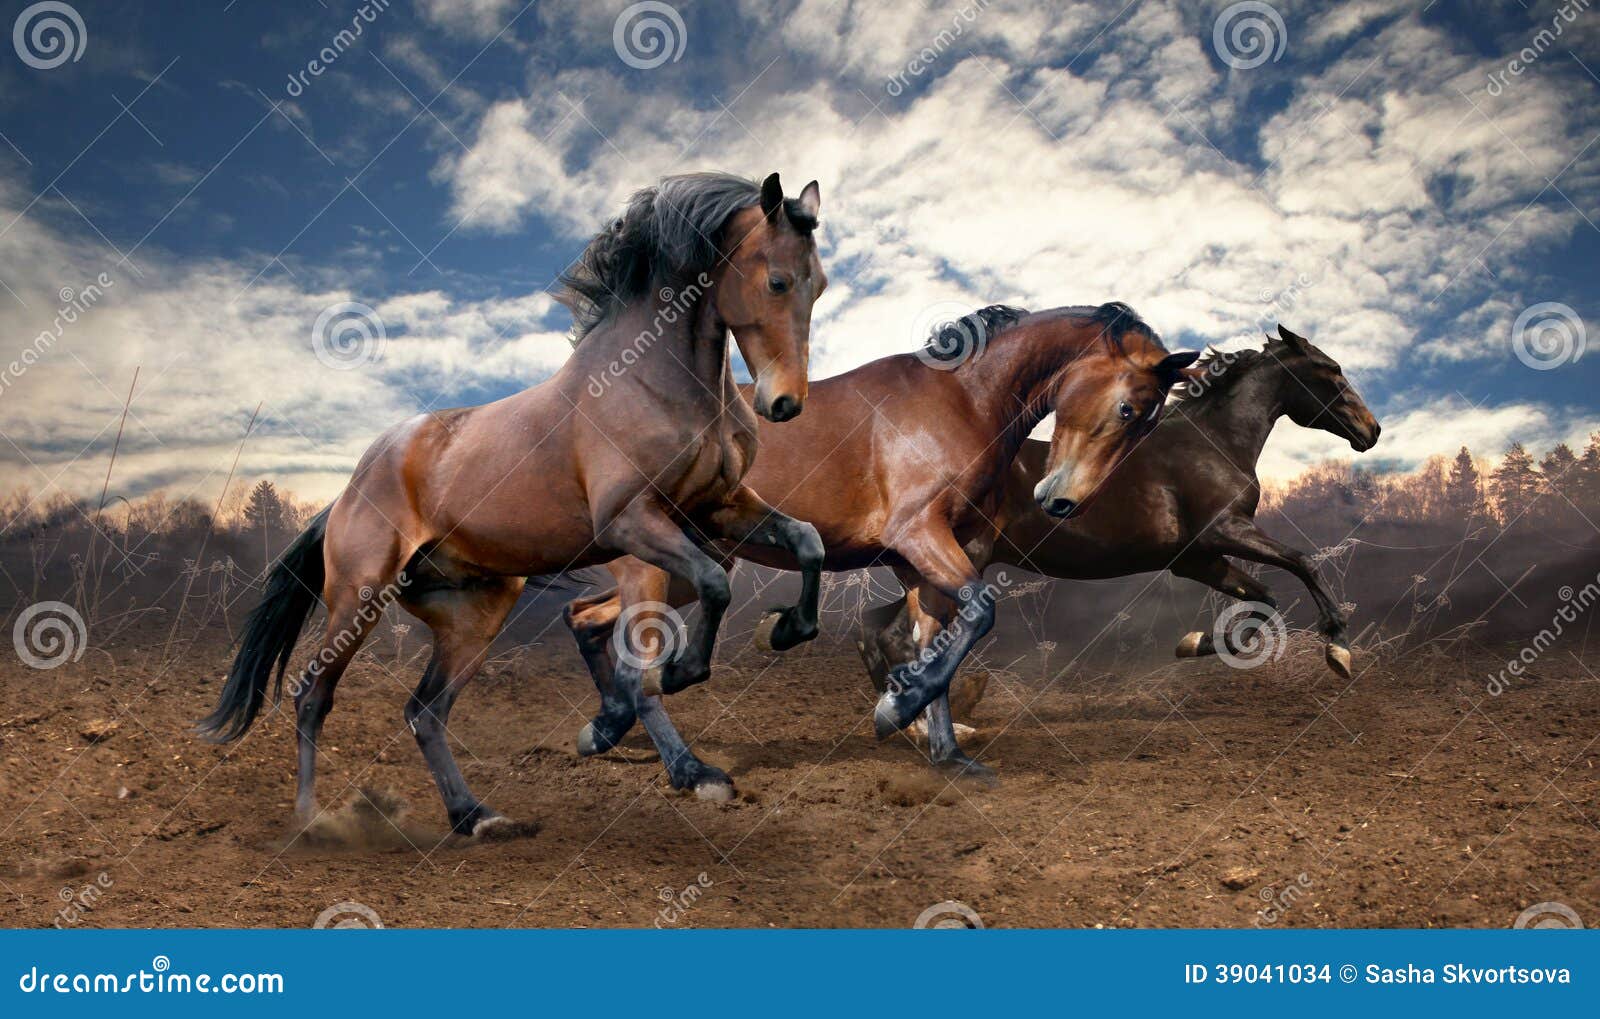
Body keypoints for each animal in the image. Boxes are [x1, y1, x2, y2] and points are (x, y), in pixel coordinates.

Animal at [199, 172, 829, 831]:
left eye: (819, 285)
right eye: (777, 280)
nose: (784, 403)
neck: (656, 381)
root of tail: (347, 491)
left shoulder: (720, 506)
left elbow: (806, 541)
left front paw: (787, 629)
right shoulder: (632, 523)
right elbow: (710, 587)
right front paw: (686, 703)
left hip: (475, 613)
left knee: (424, 711)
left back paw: (474, 816)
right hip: (359, 600)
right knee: (313, 697)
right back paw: (312, 819)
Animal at [564, 303, 1200, 791]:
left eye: (1145, 424)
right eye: (1127, 409)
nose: (1062, 502)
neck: (961, 400)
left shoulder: (921, 563)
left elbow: (936, 640)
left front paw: (947, 753)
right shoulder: (920, 536)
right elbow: (979, 613)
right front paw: (896, 708)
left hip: (692, 566)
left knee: (585, 618)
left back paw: (604, 729)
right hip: (654, 567)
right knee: (637, 663)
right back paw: (690, 771)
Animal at [857, 325, 1382, 773]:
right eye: (1332, 369)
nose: (1371, 430)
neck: (1212, 444)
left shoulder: (1196, 559)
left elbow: (1262, 602)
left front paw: (1193, 643)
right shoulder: (1224, 532)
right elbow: (1301, 562)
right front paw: (1338, 648)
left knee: (876, 630)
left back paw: (912, 724)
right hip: (960, 565)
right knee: (898, 637)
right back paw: (923, 728)